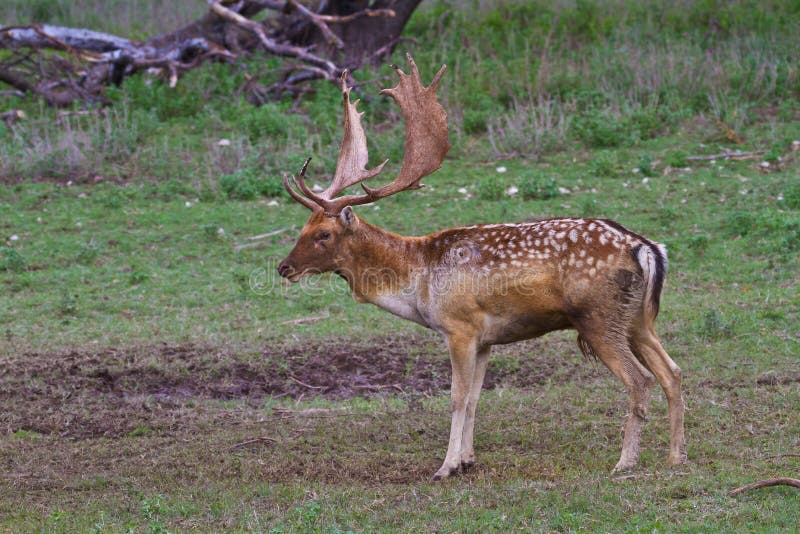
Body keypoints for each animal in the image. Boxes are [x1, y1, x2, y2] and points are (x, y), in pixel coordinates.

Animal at [277, 55, 687, 480]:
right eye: (303, 227)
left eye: (323, 234)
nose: (284, 267)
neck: (418, 282)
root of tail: (646, 248)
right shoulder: (487, 339)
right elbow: (475, 399)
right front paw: (467, 459)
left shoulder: (460, 326)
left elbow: (456, 398)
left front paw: (444, 467)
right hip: (638, 319)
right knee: (672, 372)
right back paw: (676, 456)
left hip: (598, 317)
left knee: (640, 380)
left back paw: (625, 461)